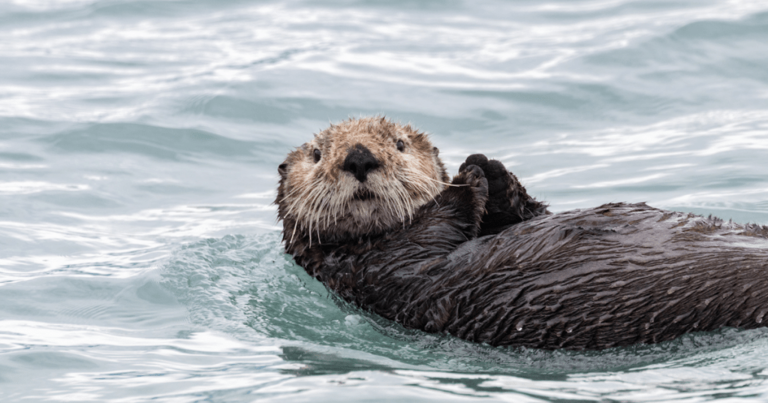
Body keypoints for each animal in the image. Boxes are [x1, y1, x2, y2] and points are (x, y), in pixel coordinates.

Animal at [276, 117, 768, 350]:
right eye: (317, 154)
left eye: (399, 143)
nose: (359, 157)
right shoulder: (378, 272)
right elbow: (433, 235)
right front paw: (468, 179)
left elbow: (524, 213)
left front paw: (487, 168)